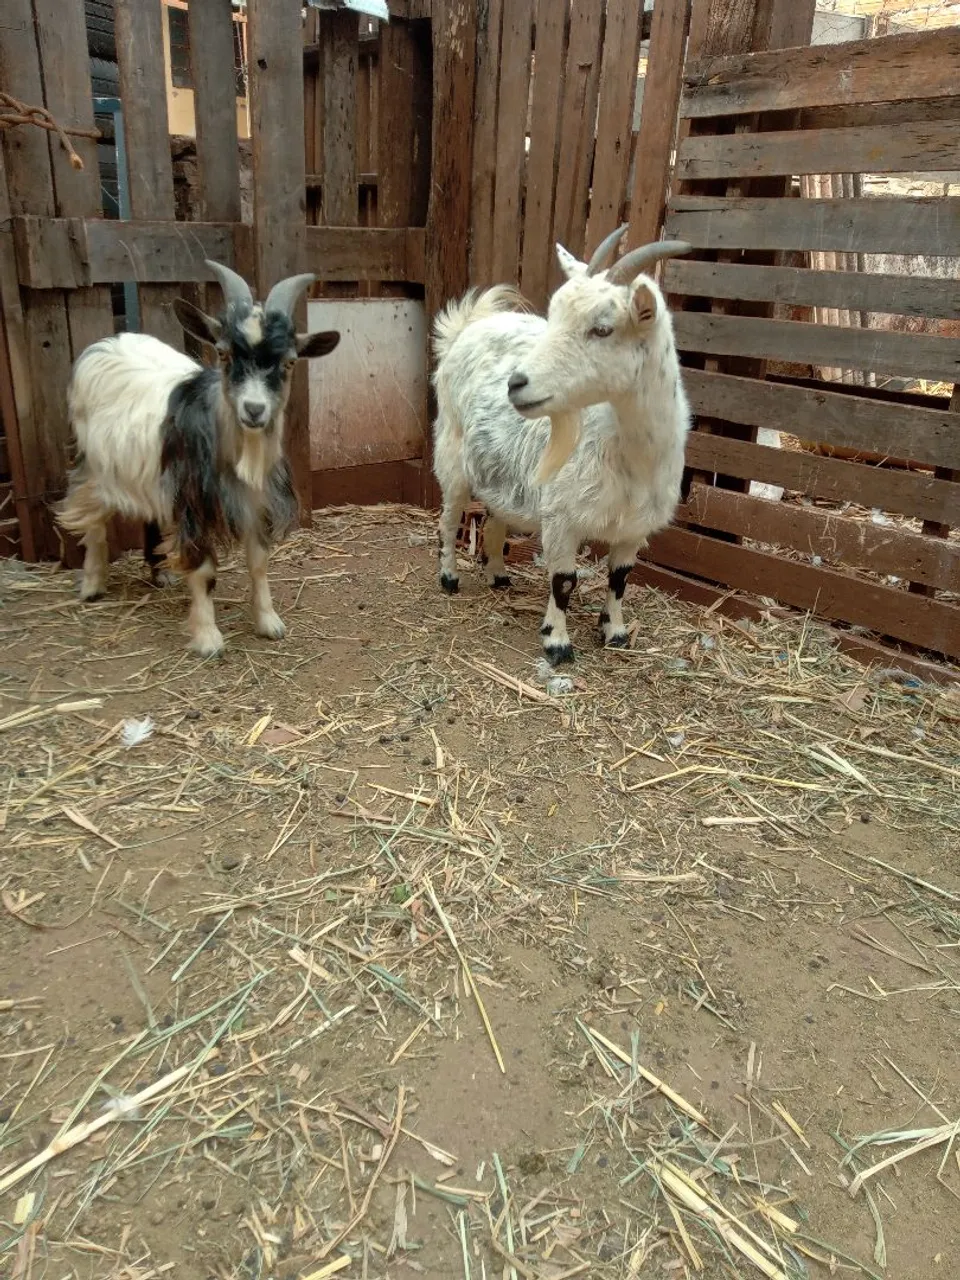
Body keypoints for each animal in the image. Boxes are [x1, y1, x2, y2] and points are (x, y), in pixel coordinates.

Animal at [58, 262, 340, 656]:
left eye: (289, 362)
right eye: (222, 354)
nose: (254, 410)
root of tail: (106, 342)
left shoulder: (253, 503)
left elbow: (259, 563)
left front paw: (269, 622)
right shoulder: (193, 505)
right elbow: (204, 570)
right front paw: (208, 639)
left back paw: (161, 572)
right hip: (96, 463)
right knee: (93, 517)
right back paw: (93, 584)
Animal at [431, 227, 692, 664]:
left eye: (602, 328)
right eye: (553, 317)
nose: (515, 383)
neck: (633, 456)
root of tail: (471, 323)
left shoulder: (635, 527)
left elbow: (620, 578)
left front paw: (616, 632)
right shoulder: (562, 516)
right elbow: (564, 581)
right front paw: (557, 642)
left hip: (503, 466)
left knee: (495, 515)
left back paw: (498, 574)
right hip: (451, 450)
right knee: (449, 520)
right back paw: (449, 576)